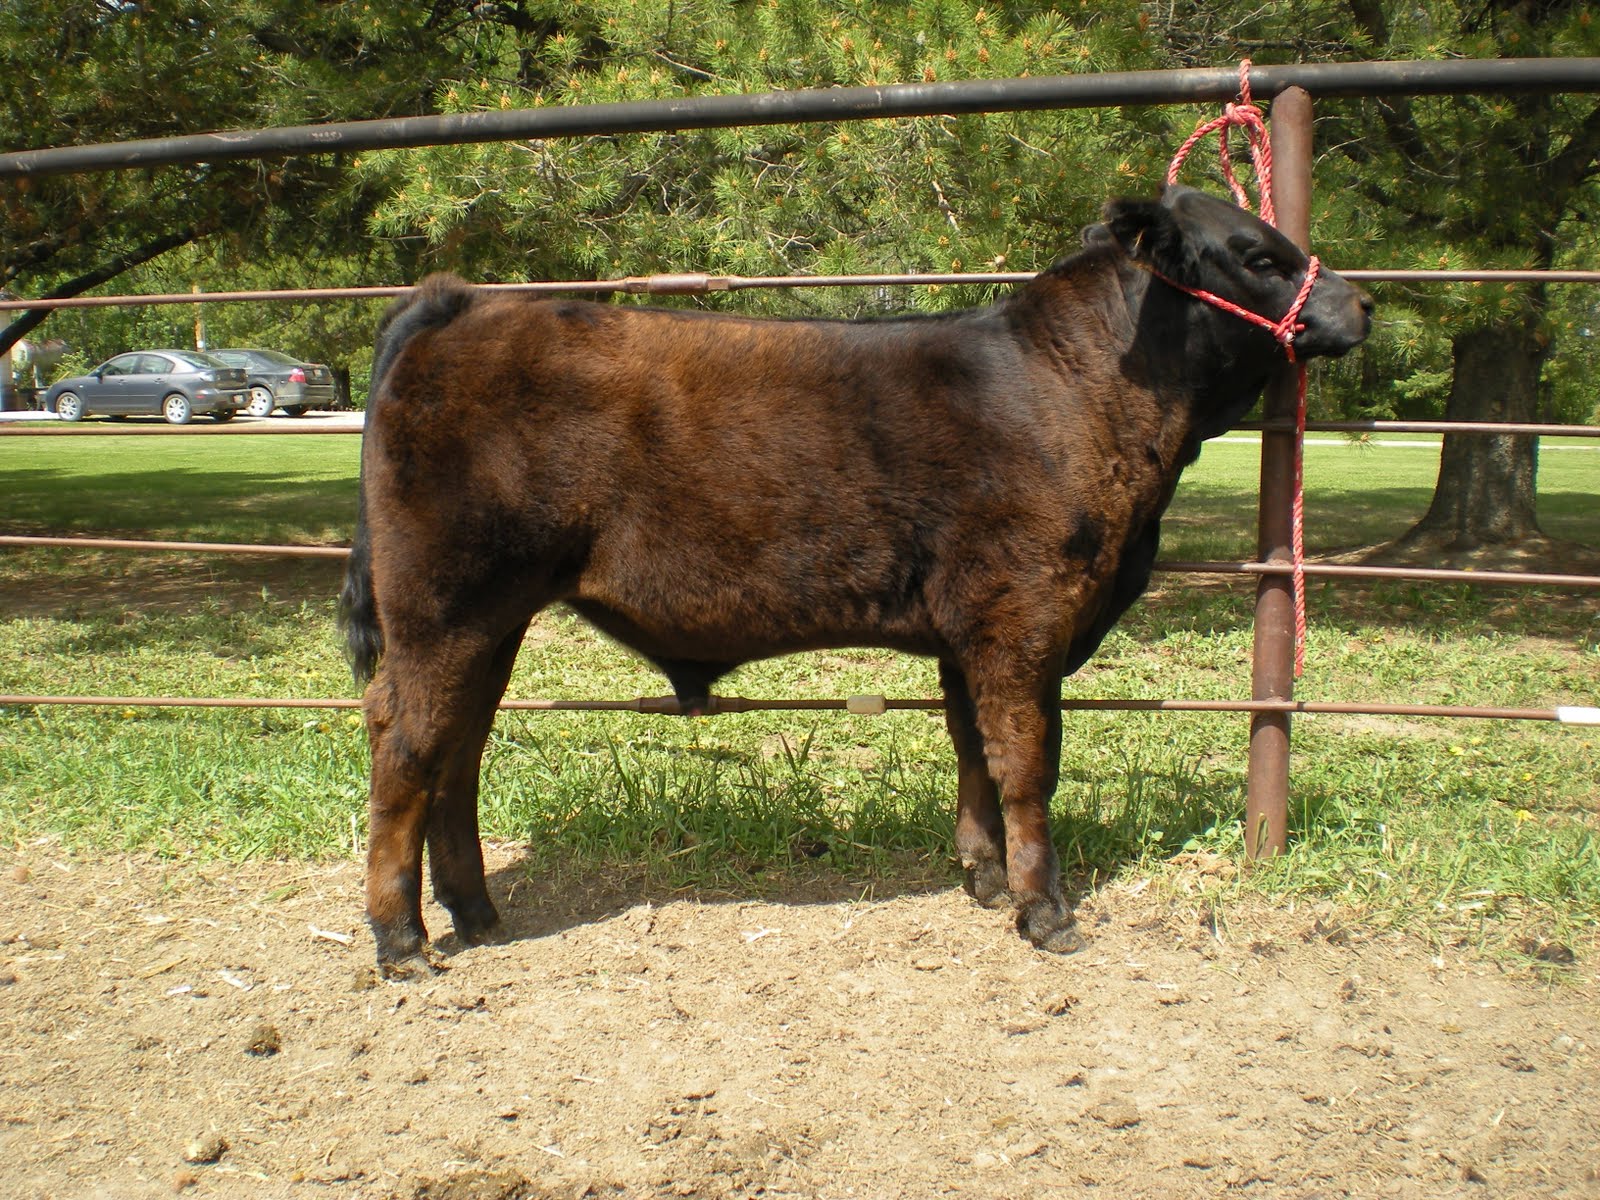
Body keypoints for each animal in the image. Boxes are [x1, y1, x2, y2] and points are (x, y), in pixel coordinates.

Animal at [338, 183, 1372, 976]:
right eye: (1259, 254)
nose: (1360, 306)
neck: (1078, 388)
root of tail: (462, 304)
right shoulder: (1024, 613)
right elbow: (1028, 761)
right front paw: (1045, 910)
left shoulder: (969, 628)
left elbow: (972, 749)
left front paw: (982, 877)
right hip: (443, 606)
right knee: (406, 743)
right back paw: (402, 941)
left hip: (492, 617)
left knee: (459, 751)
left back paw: (476, 915)